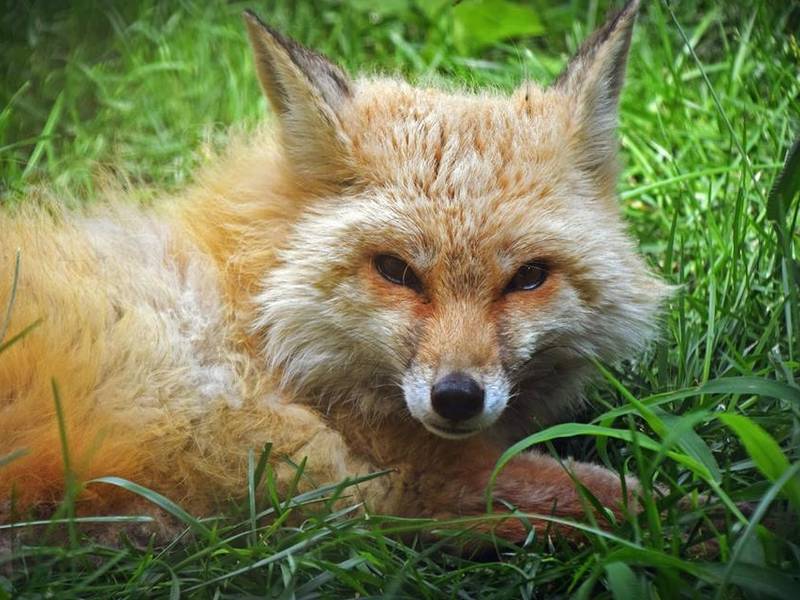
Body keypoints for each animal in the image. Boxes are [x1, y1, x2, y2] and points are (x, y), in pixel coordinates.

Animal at [0, 0, 668, 544]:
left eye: (528, 277)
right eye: (396, 270)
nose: (456, 398)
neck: (253, 314)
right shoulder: (413, 483)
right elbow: (633, 500)